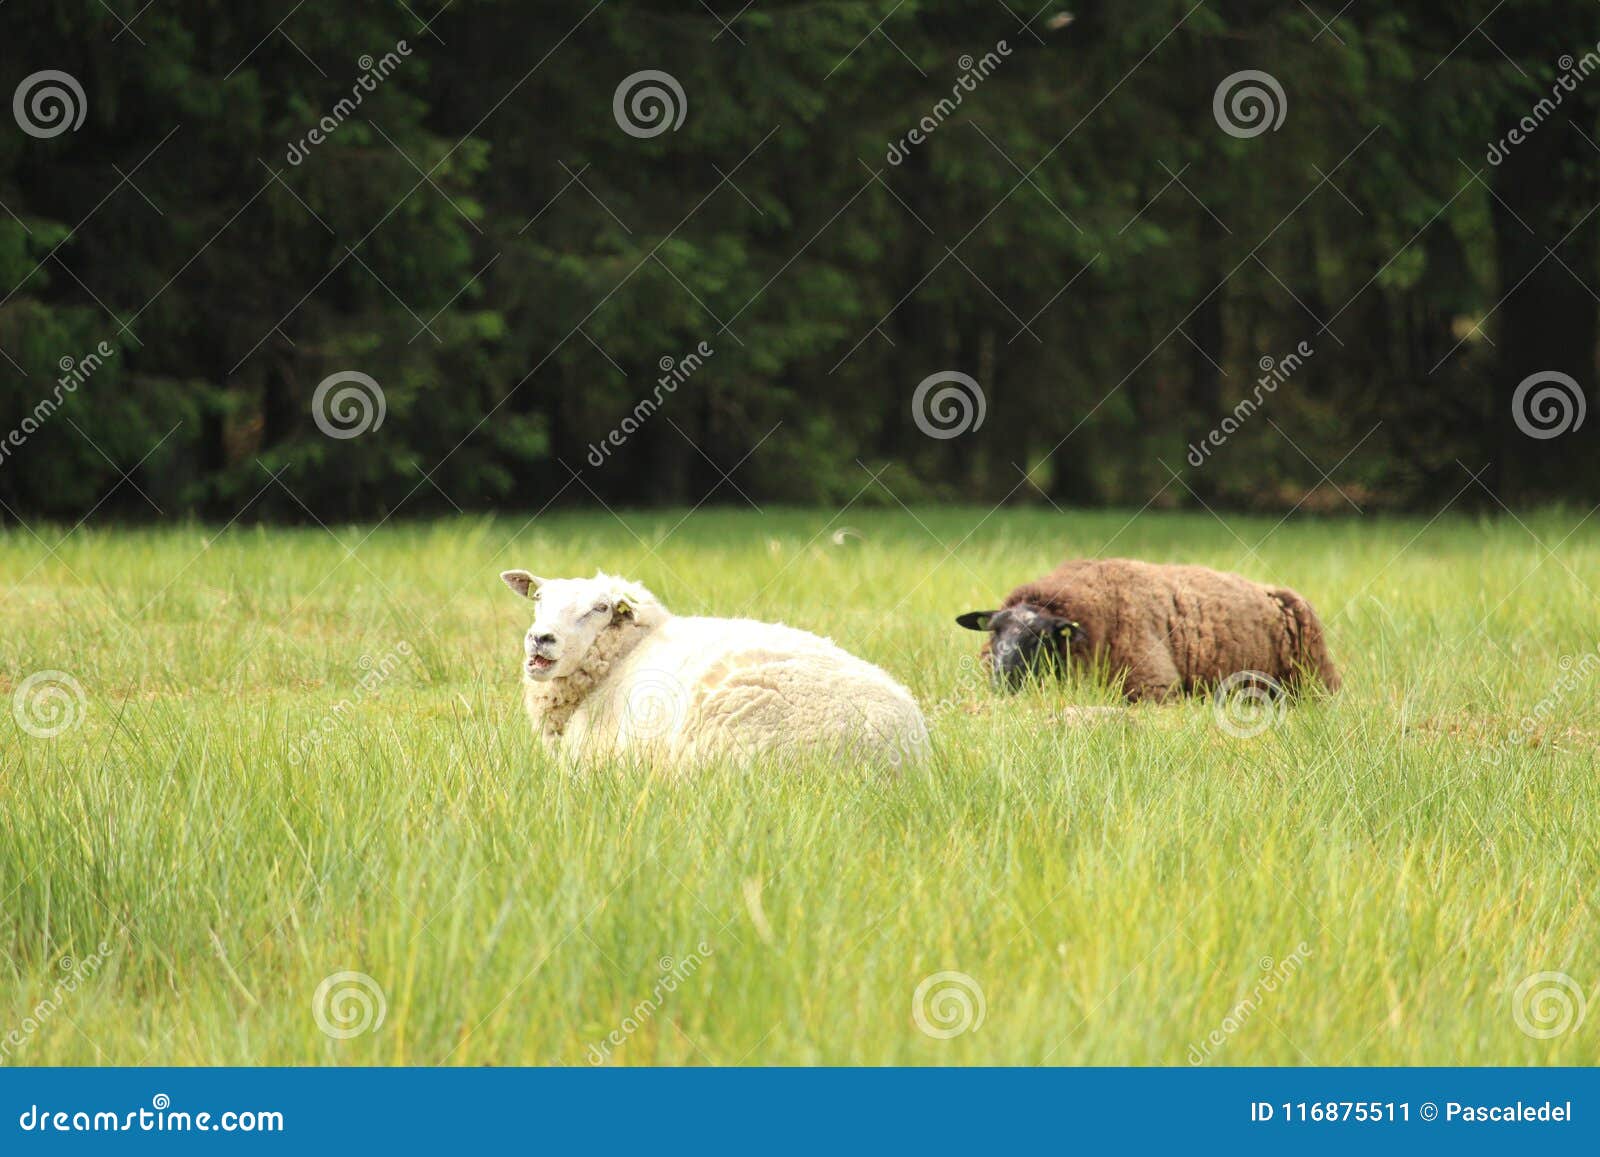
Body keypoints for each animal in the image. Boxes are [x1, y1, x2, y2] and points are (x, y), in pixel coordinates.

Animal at [955, 558, 1341, 702]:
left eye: (1042, 639)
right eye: (994, 633)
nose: (1002, 683)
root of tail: (1274, 592)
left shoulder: (1155, 687)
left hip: (1313, 681)